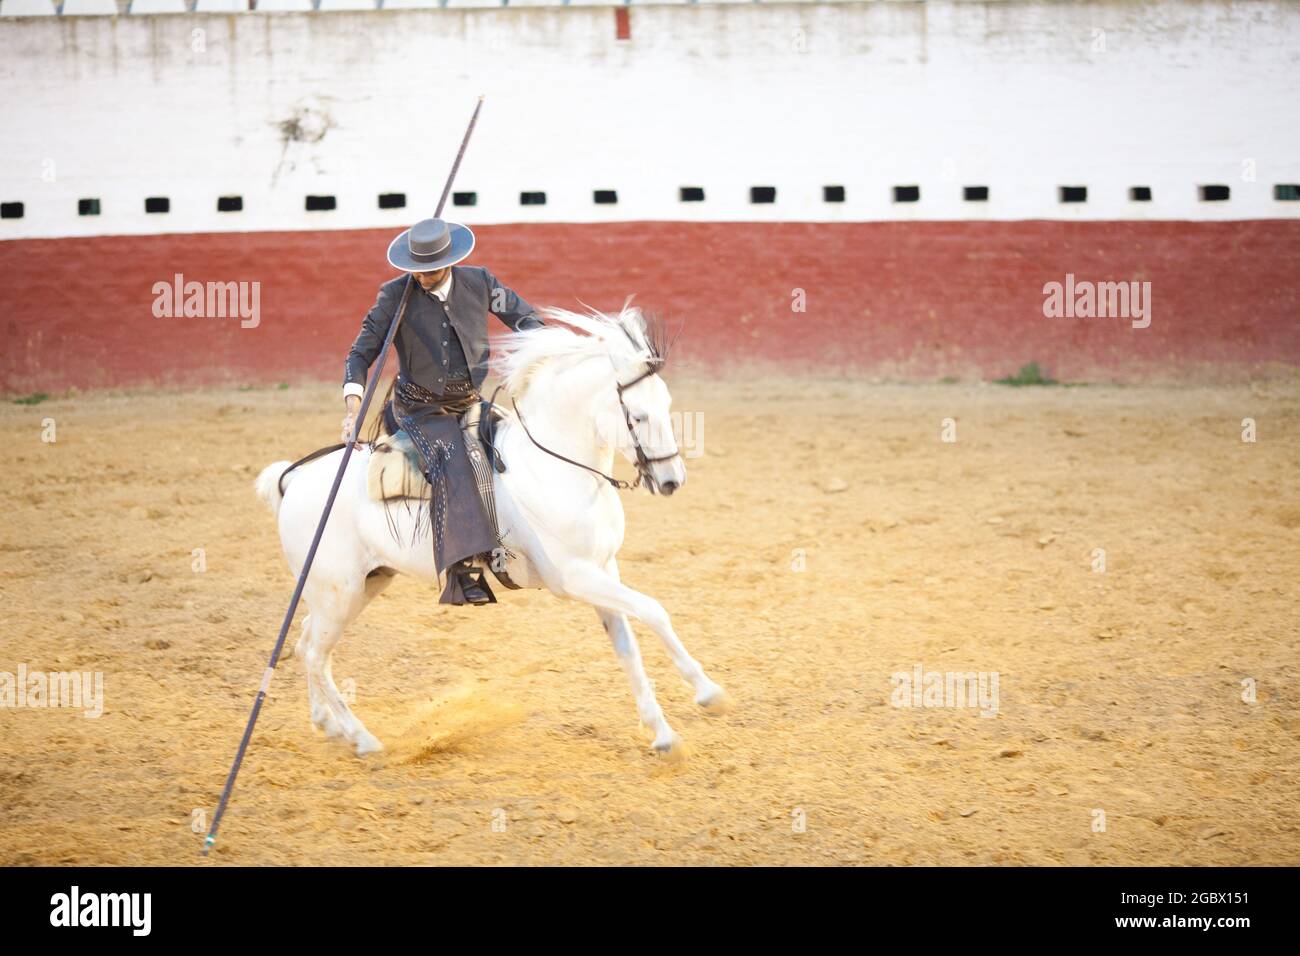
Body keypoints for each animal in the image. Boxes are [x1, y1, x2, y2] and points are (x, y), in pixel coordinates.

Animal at [253, 303, 727, 758]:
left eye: (667, 405)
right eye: (639, 416)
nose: (671, 480)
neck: (555, 466)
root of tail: (294, 479)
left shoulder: (604, 570)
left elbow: (627, 647)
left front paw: (663, 732)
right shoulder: (575, 577)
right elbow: (654, 610)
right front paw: (708, 693)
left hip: (359, 586)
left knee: (305, 643)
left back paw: (327, 723)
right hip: (338, 591)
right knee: (316, 653)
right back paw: (361, 737)